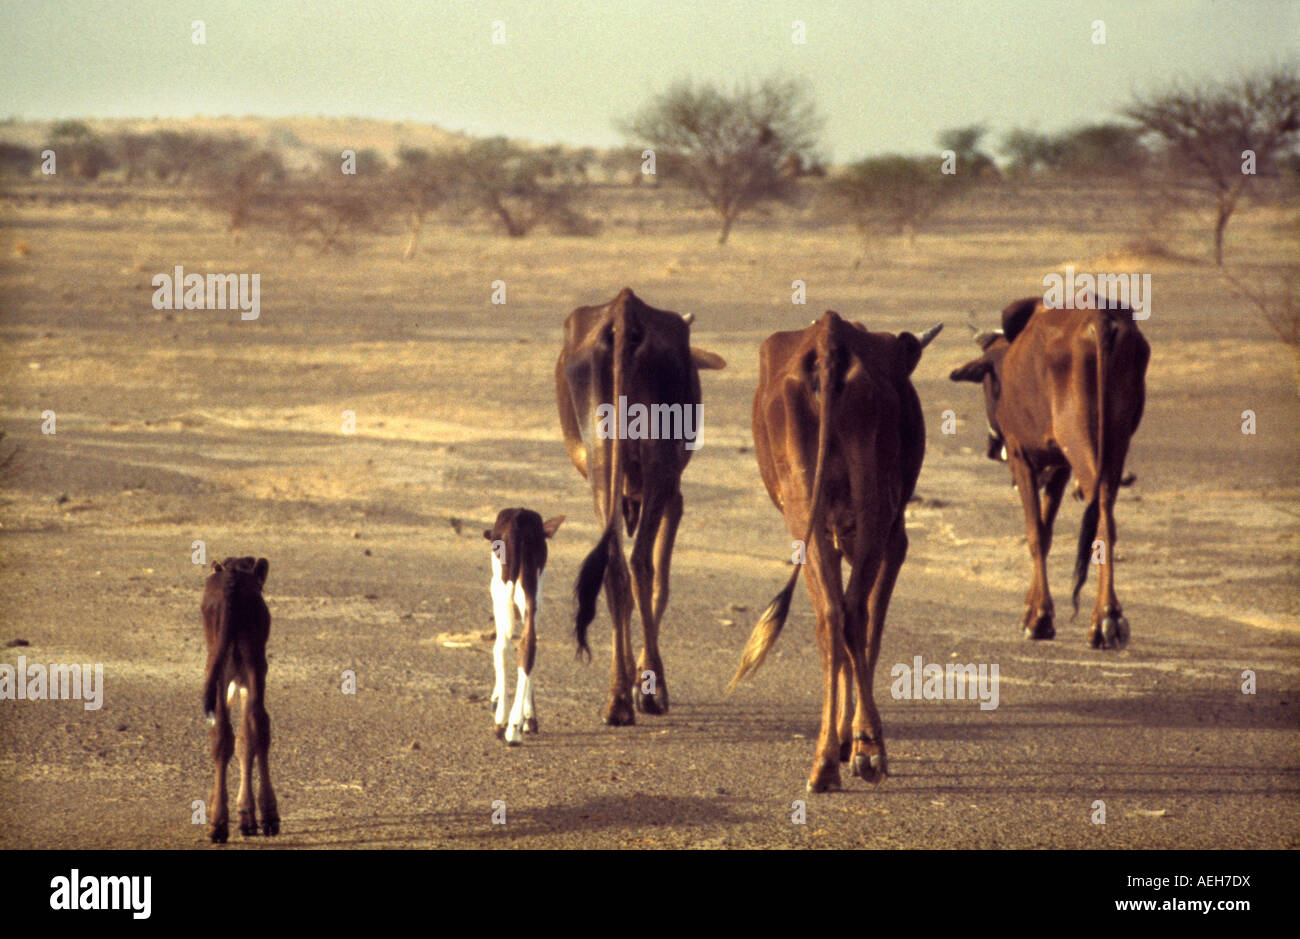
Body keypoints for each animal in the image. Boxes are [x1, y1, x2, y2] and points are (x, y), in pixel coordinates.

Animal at [201, 556, 278, 843]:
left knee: (223, 734)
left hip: (219, 665)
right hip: (254, 661)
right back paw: (268, 816)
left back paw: (218, 823)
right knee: (257, 725)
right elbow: (250, 736)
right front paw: (251, 817)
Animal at [482, 508, 565, 745]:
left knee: (504, 647)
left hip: (506, 592)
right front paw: (529, 718)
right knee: (527, 645)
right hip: (529, 593)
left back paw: (504, 723)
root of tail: (518, 519)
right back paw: (514, 726)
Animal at [557, 287, 726, 725]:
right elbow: (660, 582)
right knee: (640, 565)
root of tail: (623, 311)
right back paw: (653, 689)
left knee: (615, 567)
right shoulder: (675, 497)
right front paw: (643, 682)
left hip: (600, 462)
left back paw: (618, 697)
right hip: (659, 464)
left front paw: (632, 680)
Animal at [729, 311, 941, 793]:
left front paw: (844, 740)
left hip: (803, 510)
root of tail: (829, 338)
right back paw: (868, 749)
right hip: (875, 512)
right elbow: (871, 626)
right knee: (855, 615)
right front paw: (855, 740)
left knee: (831, 616)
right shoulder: (895, 539)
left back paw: (825, 761)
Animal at [949, 296, 1150, 649]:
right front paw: (1034, 609)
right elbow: (1046, 531)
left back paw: (1105, 619)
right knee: (1108, 516)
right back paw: (1108, 616)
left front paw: (1038, 618)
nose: (992, 446)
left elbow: (1035, 534)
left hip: (1078, 440)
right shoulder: (1059, 468)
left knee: (1100, 513)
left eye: (986, 381)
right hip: (1116, 443)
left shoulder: (1022, 457)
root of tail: (1101, 320)